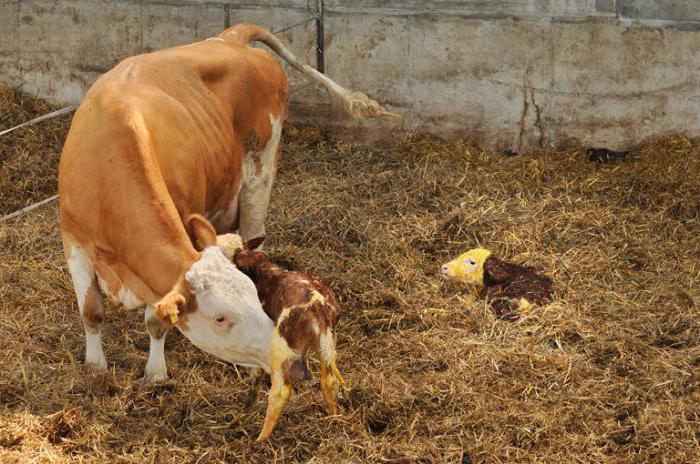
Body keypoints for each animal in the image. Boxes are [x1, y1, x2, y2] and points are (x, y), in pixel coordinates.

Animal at [58, 22, 394, 380]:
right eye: (221, 317)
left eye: (255, 299)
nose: (284, 359)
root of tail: (233, 37)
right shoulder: (73, 239)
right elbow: (91, 311)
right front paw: (95, 366)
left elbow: (156, 321)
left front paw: (156, 372)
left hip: (261, 169)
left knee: (256, 236)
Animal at [217, 234, 346, 440]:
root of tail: (317, 303)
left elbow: (255, 374)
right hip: (327, 342)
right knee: (329, 381)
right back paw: (334, 419)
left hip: (280, 345)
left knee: (280, 391)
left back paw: (261, 438)